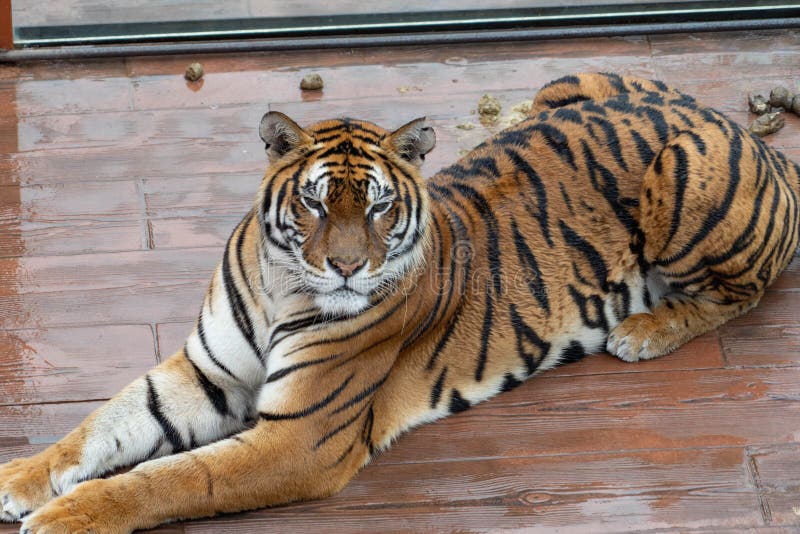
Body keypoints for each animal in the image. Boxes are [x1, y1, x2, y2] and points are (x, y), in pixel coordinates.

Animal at [1, 71, 798, 533]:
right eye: (316, 203)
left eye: (381, 207)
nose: (349, 267)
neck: (282, 284)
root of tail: (724, 116)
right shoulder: (206, 373)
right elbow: (105, 424)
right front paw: (21, 479)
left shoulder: (300, 439)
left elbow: (176, 477)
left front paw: (68, 517)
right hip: (568, 81)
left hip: (683, 171)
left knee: (742, 291)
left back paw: (644, 329)